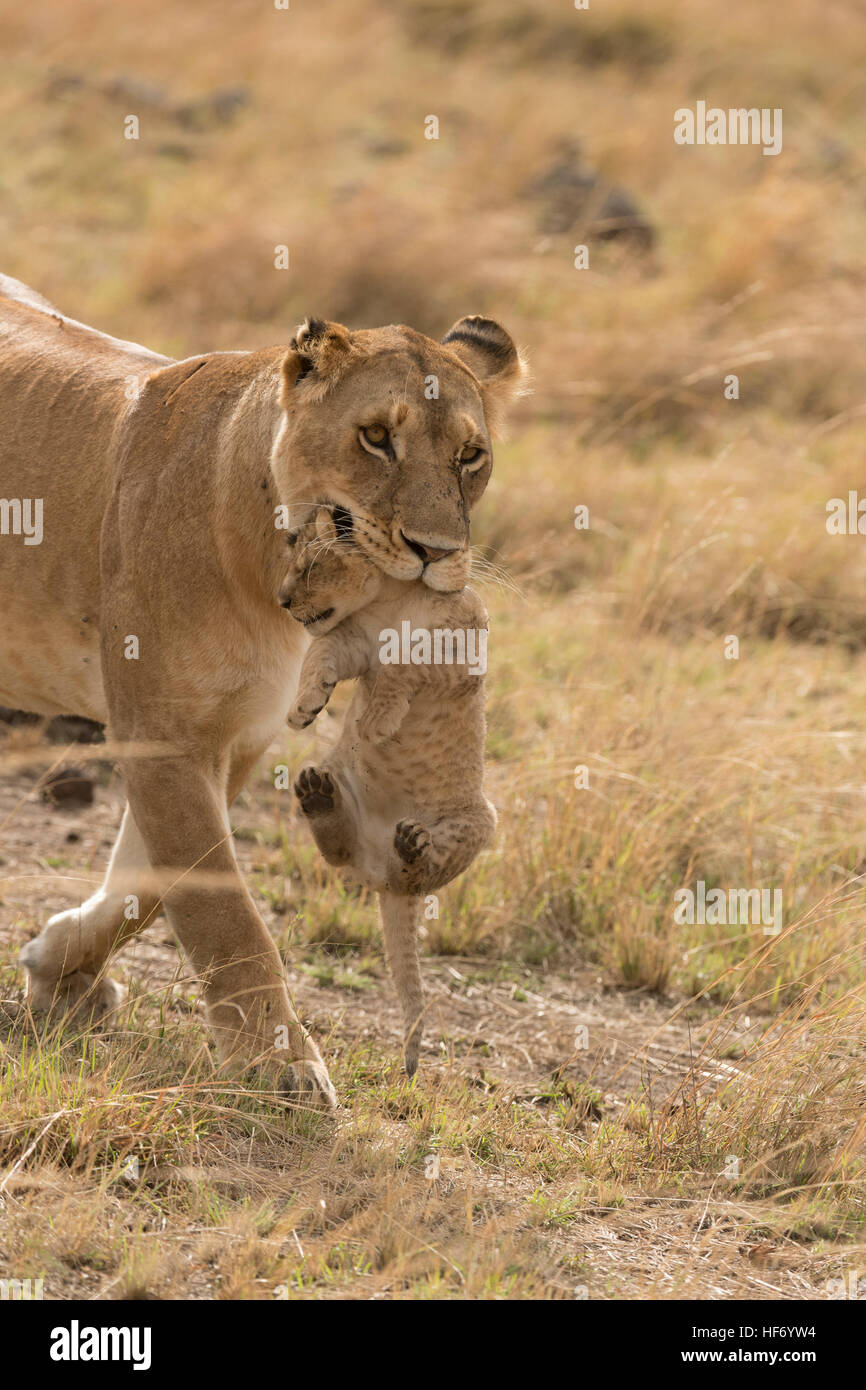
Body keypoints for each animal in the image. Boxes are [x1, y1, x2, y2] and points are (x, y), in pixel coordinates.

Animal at [280, 507, 497, 1076]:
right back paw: (317, 795)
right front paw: (302, 708)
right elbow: (322, 652)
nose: (281, 601)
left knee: (418, 874)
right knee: (337, 852)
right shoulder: (352, 640)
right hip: (344, 796)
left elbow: (403, 661)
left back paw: (411, 846)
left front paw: (377, 719)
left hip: (482, 819)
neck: (389, 599)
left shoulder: (463, 642)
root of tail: (377, 875)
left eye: (310, 566)